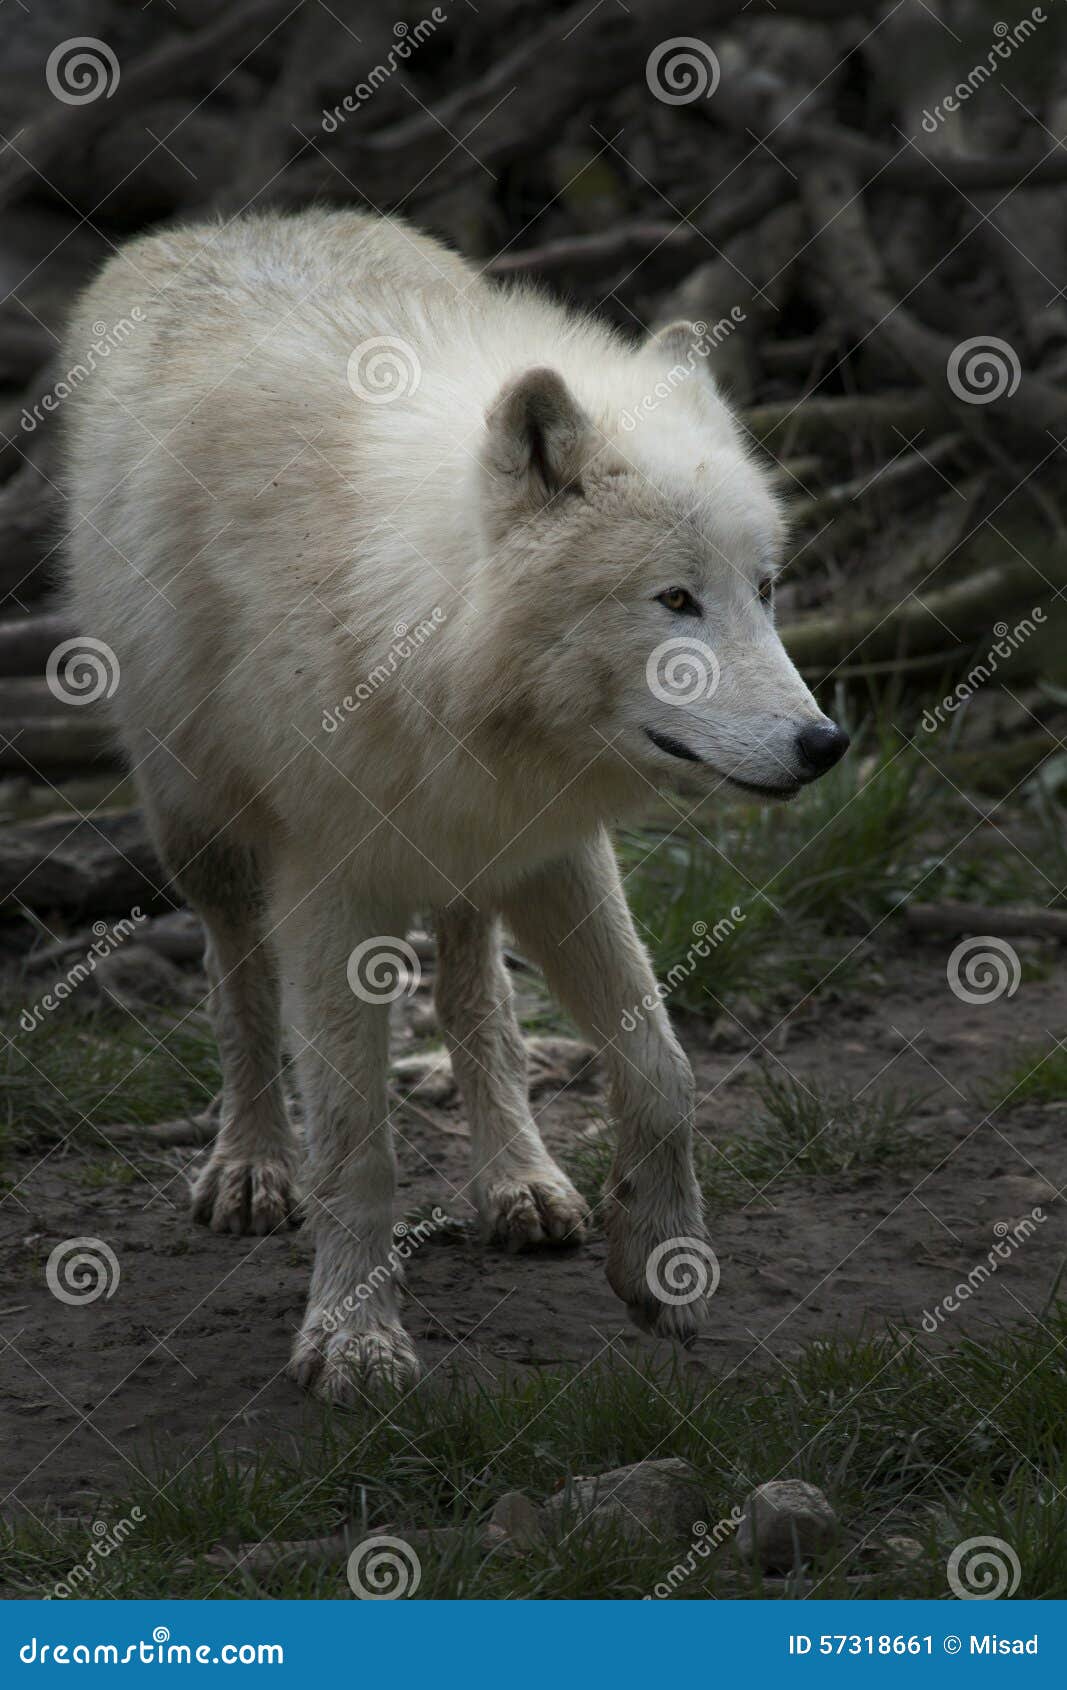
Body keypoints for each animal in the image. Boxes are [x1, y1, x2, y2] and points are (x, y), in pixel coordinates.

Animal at [61, 209, 848, 1401]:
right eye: (674, 599)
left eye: (761, 591)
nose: (823, 745)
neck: (416, 623)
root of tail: (229, 223)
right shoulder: (330, 883)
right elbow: (355, 1139)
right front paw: (353, 1339)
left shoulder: (554, 847)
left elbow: (660, 1069)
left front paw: (661, 1262)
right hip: (197, 824)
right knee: (238, 983)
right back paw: (249, 1163)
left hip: (472, 861)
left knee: (480, 999)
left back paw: (517, 1179)